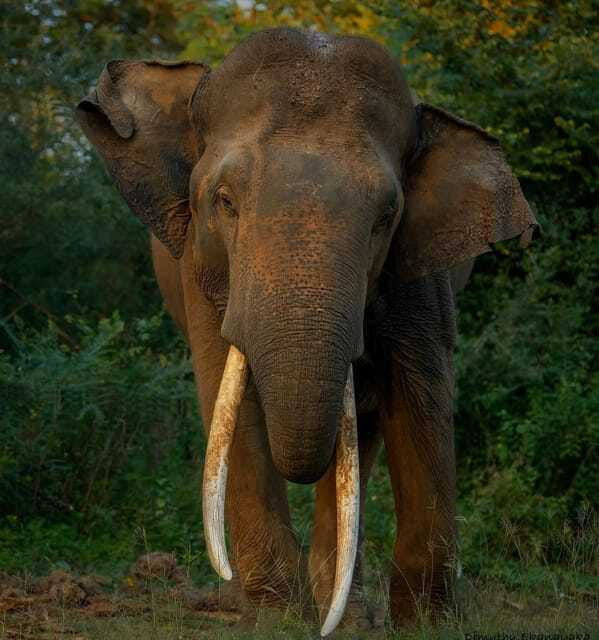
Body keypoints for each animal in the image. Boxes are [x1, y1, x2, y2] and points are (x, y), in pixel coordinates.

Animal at [76, 27, 536, 635]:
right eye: (224, 201)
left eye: (386, 216)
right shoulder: (201, 264)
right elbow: (226, 390)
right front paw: (278, 621)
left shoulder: (419, 269)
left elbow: (422, 394)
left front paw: (429, 626)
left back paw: (349, 615)